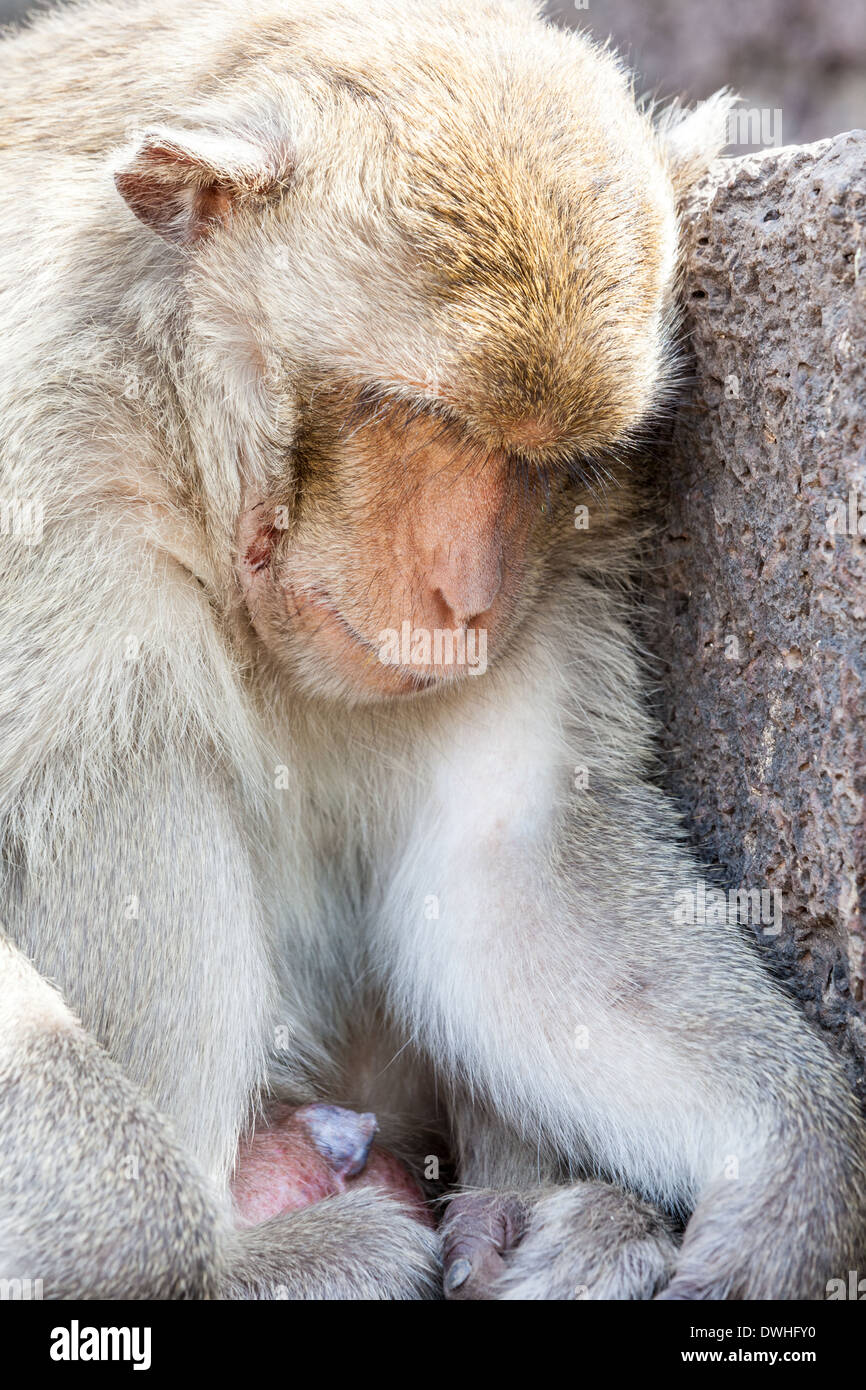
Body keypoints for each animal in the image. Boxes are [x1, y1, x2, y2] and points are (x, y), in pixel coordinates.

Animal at [0, 0, 864, 1301]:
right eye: (420, 416)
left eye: (549, 461)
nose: (467, 597)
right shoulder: (47, 465)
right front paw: (173, 1250)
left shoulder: (561, 567)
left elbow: (504, 881)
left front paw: (792, 1179)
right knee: (124, 772)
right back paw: (266, 1244)